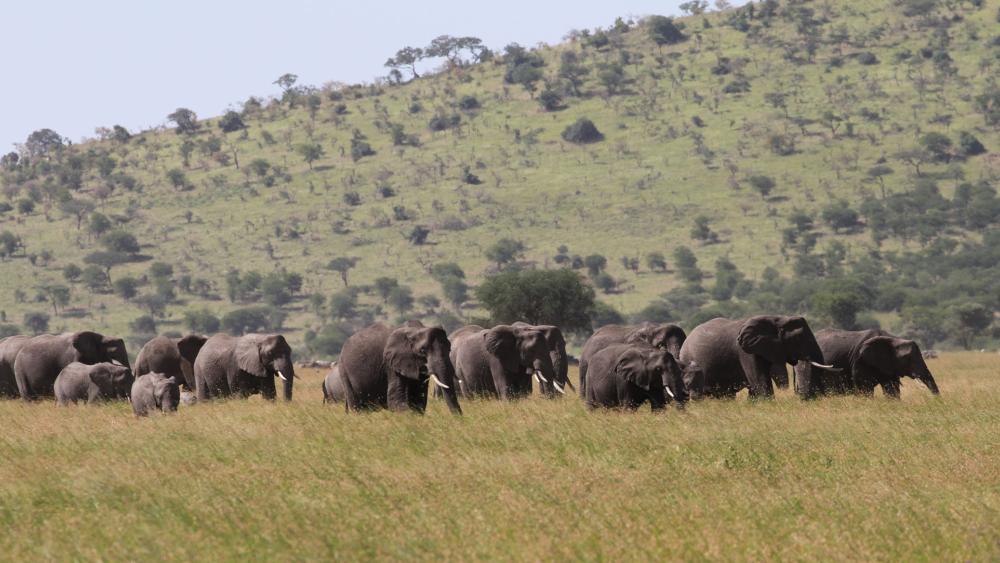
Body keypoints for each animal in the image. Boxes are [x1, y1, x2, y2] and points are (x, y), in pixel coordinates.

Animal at [794, 329, 940, 398]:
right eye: (907, 359)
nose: (937, 401)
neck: (892, 339)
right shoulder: (859, 360)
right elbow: (864, 387)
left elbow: (891, 389)